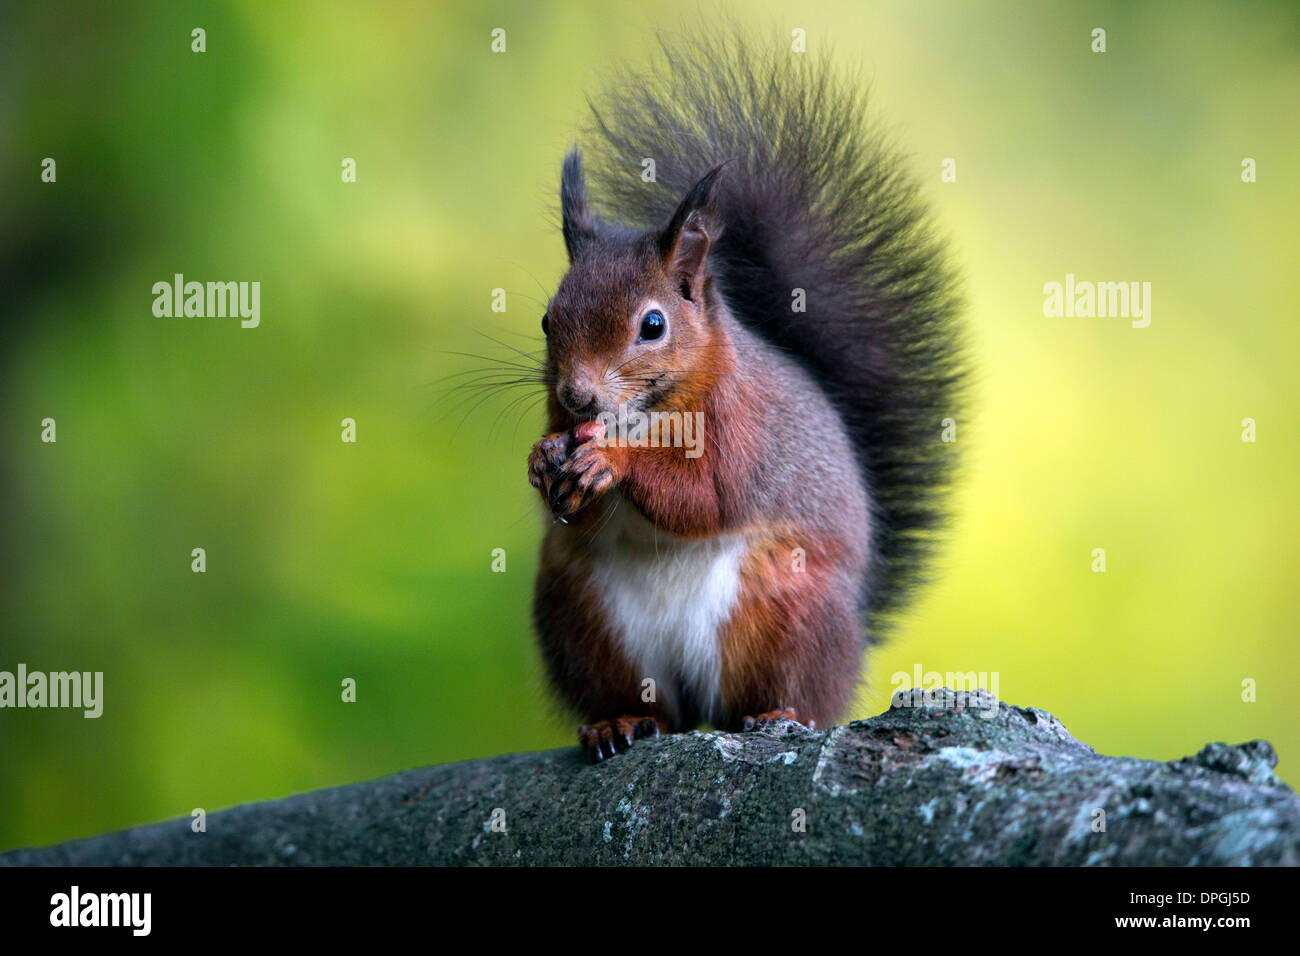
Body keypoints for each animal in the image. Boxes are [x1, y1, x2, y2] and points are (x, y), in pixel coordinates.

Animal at [525, 30, 966, 761]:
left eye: (653, 325)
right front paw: (541, 460)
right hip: (582, 615)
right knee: (648, 705)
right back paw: (618, 722)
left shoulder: (743, 428)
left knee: (781, 693)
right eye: (545, 321)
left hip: (783, 609)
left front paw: (613, 463)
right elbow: (572, 512)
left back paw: (777, 713)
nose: (577, 394)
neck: (642, 416)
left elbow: (707, 496)